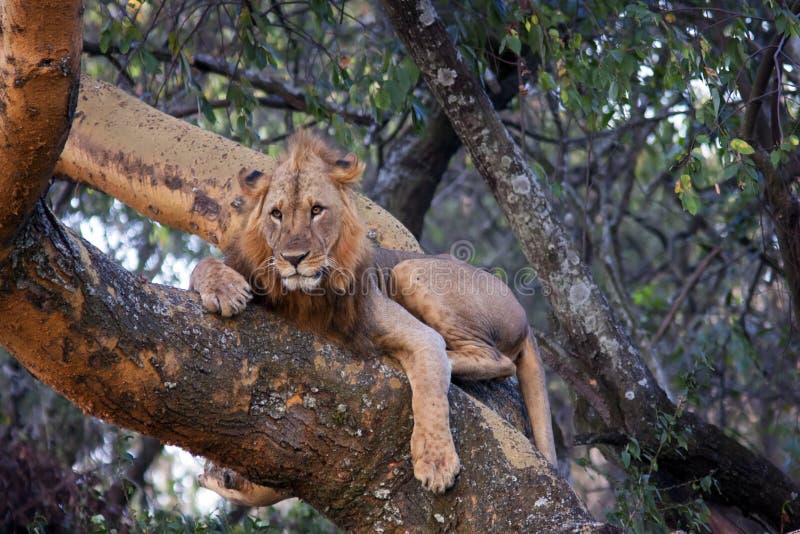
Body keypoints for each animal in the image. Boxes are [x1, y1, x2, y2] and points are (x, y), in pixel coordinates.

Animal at [190, 131, 556, 500]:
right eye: (276, 214)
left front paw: (436, 463)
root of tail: (526, 320)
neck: (305, 296)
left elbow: (430, 391)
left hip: (411, 270)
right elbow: (201, 265)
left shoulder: (419, 335)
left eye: (316, 210)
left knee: (497, 360)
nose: (293, 258)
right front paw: (225, 290)